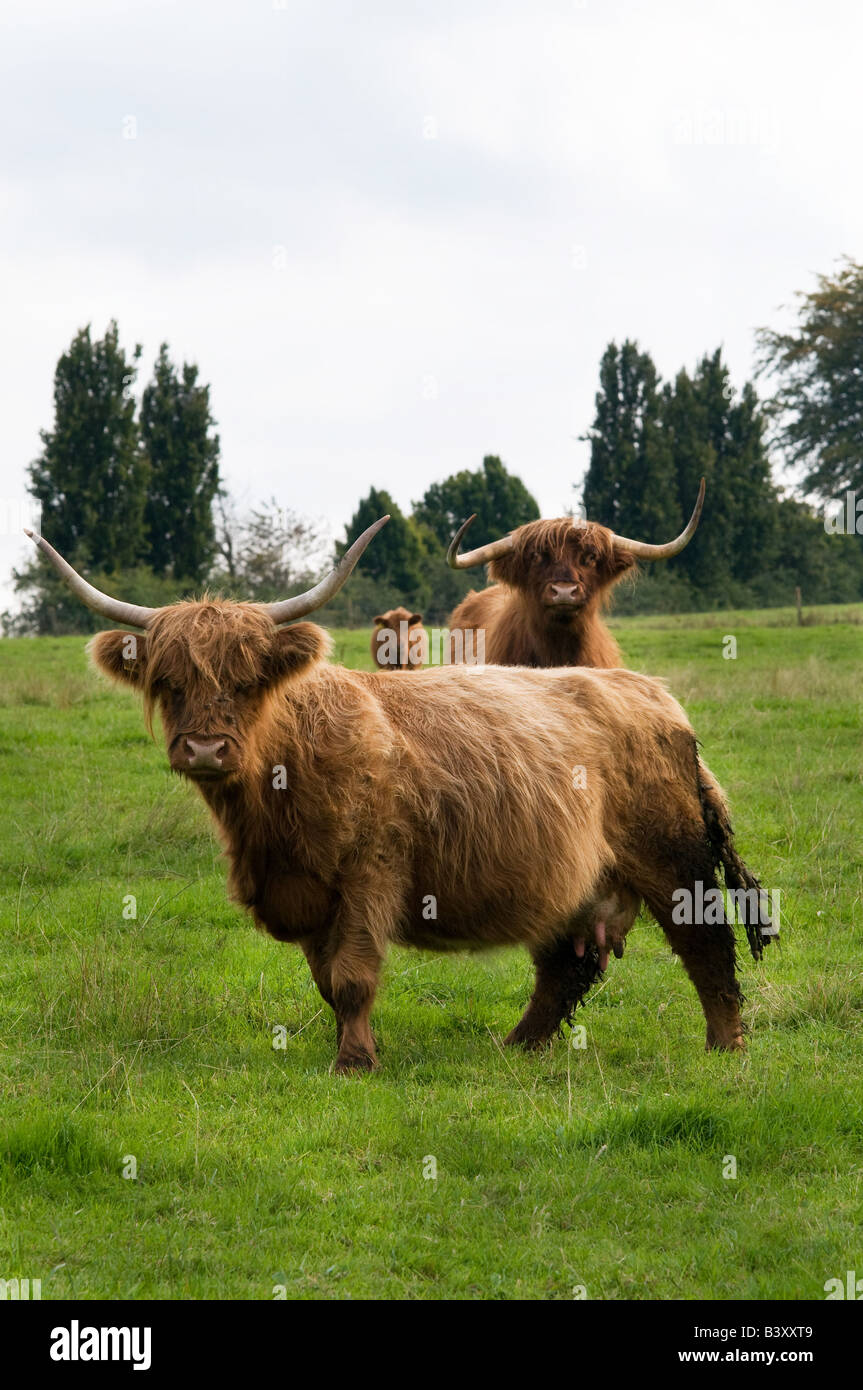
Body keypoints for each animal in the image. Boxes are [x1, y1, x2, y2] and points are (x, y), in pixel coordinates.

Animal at [27, 513, 772, 1074]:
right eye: (169, 681)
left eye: (246, 680)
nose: (205, 749)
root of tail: (657, 698)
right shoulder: (306, 889)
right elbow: (327, 980)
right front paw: (352, 1045)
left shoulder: (371, 870)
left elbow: (353, 974)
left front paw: (354, 1062)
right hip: (581, 877)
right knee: (564, 968)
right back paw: (515, 1047)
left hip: (670, 856)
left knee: (705, 943)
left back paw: (724, 1047)